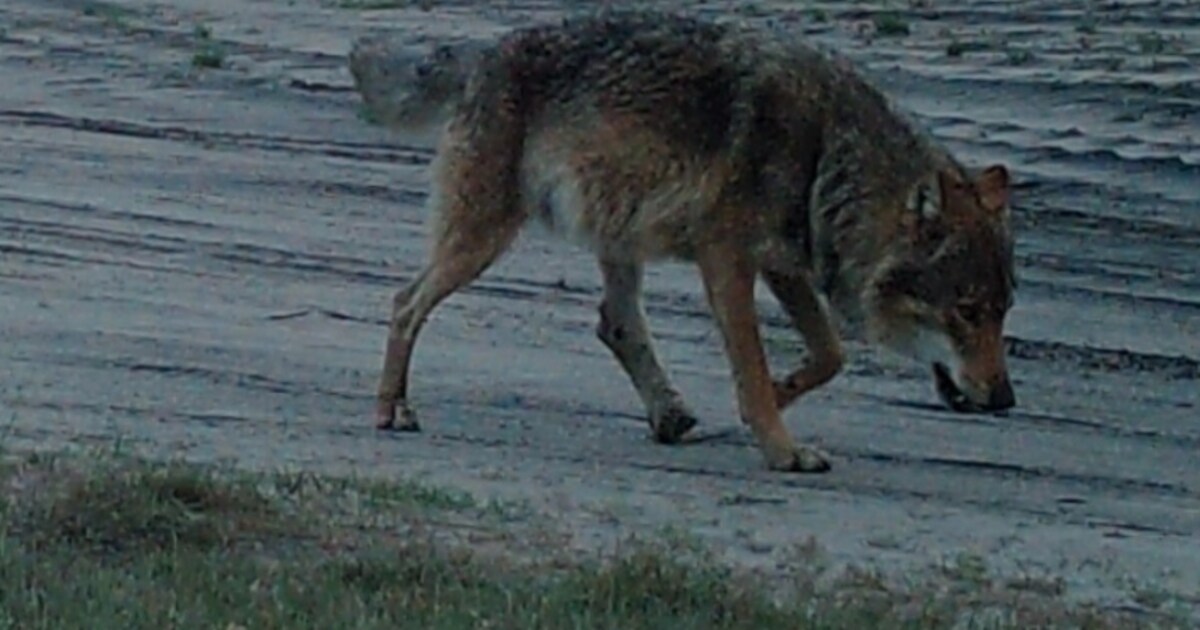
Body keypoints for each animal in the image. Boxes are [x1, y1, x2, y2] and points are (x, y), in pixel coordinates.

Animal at [348, 11, 1018, 474]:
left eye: (1003, 312)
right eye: (966, 312)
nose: (1006, 400)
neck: (827, 156)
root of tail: (484, 51)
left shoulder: (784, 266)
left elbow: (829, 355)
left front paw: (779, 398)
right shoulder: (727, 260)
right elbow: (752, 365)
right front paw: (780, 447)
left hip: (613, 233)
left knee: (614, 323)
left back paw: (669, 415)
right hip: (482, 240)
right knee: (404, 302)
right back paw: (391, 410)